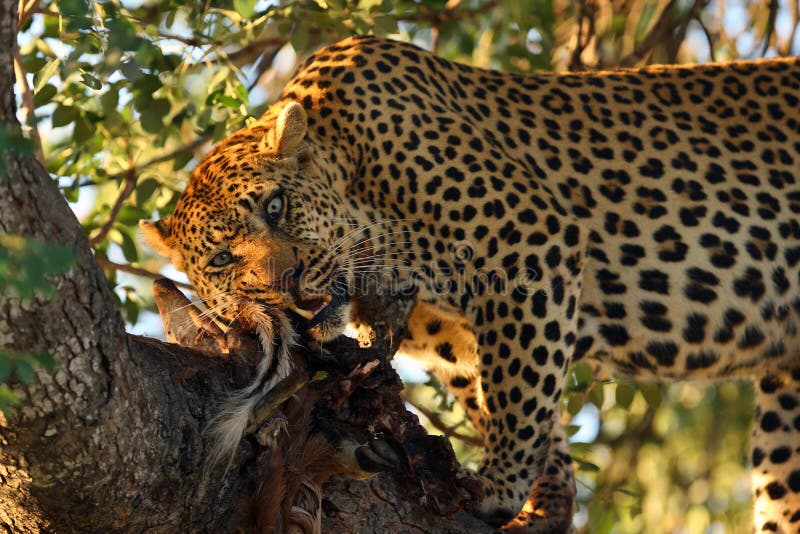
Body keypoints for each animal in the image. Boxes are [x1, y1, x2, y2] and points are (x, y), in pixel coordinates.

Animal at [141, 35, 800, 532]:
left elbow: (520, 387)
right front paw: (544, 503)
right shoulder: (444, 329)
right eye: (222, 260)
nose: (291, 287)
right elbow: (506, 391)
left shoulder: (529, 242)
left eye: (276, 207)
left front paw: (500, 486)